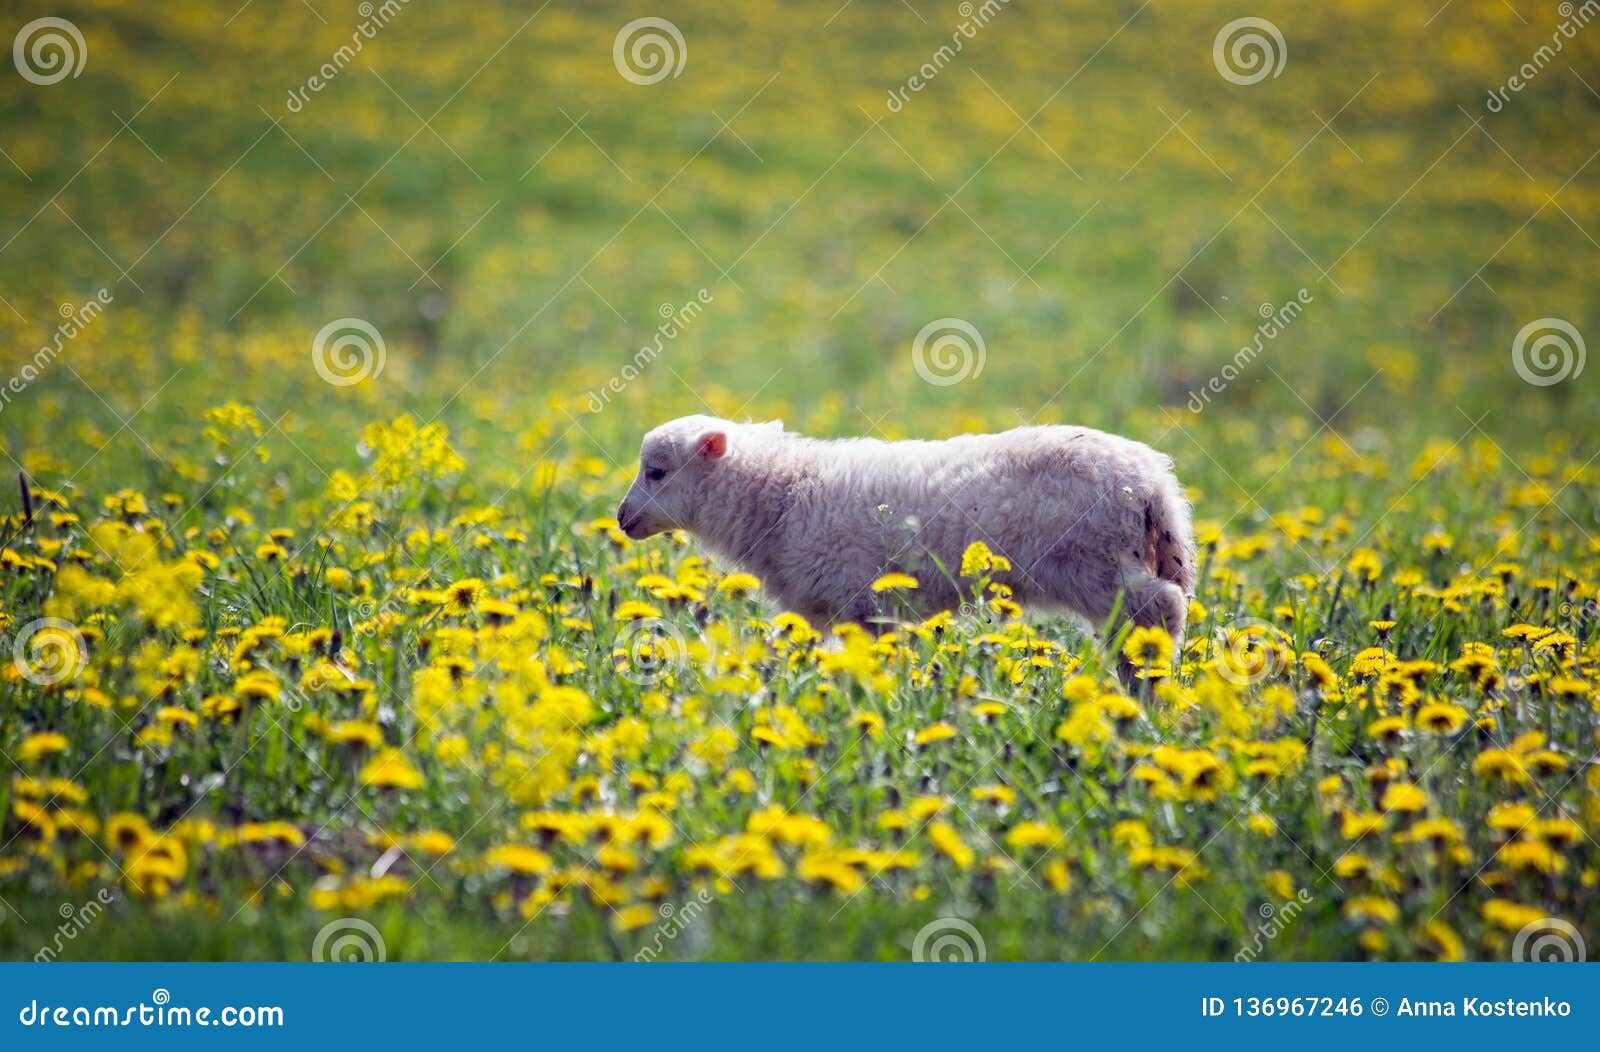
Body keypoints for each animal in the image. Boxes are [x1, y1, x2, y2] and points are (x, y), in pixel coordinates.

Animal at [616, 414, 1197, 662]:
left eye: (657, 472)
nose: (621, 519)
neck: (782, 493)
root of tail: (1154, 481)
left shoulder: (865, 601)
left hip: (1093, 562)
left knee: (1159, 610)